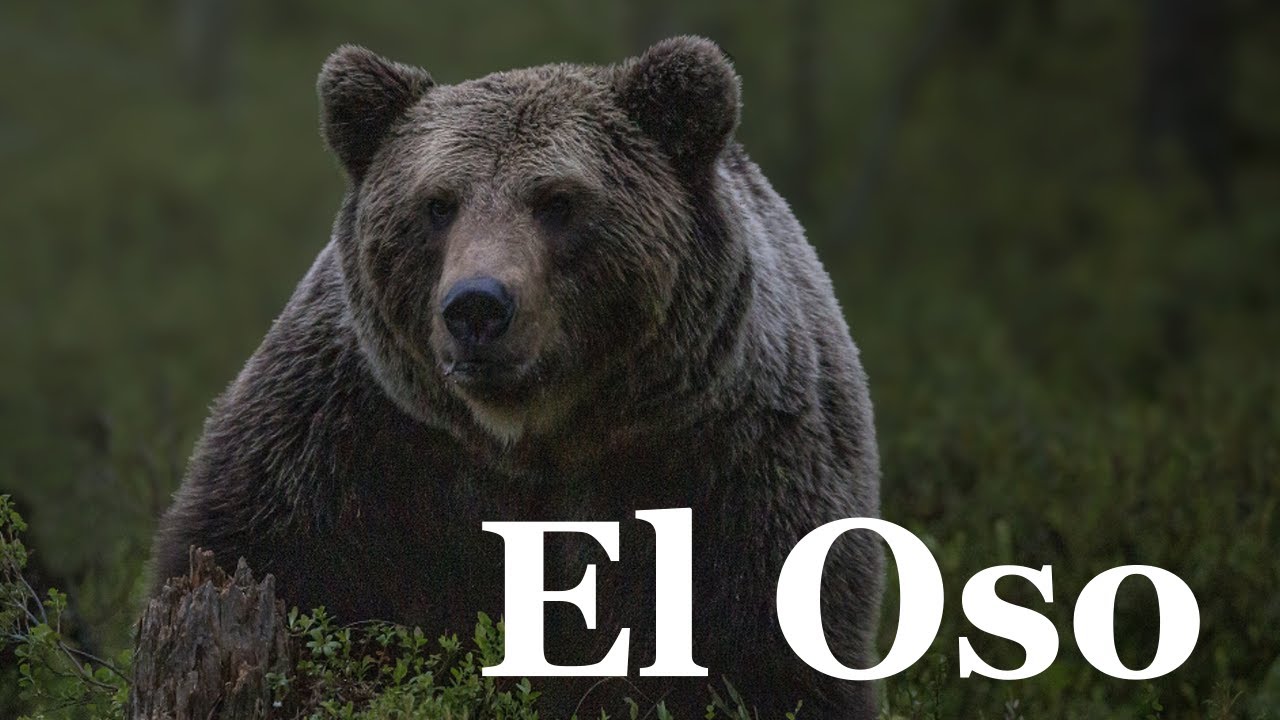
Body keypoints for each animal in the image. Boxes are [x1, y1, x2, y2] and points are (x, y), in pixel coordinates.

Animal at [150, 37, 884, 719]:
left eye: (557, 200)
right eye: (438, 203)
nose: (477, 306)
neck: (534, 436)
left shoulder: (731, 465)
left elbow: (768, 655)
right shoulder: (348, 441)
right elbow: (266, 558)